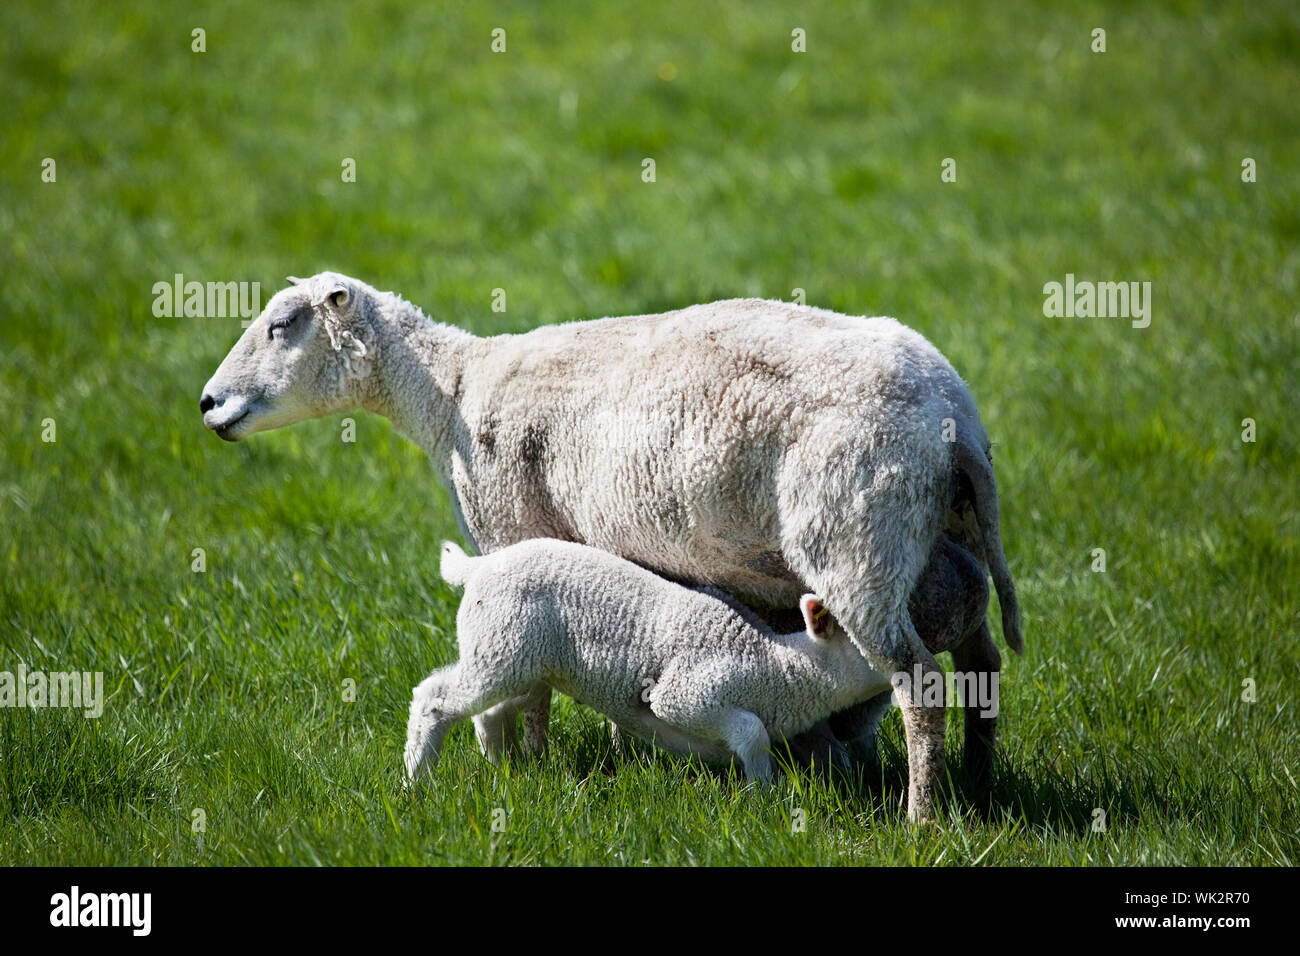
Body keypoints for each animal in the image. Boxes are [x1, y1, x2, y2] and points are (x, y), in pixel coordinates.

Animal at [404, 538, 894, 786]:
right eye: (867, 645)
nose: (910, 667)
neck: (775, 665)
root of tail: (476, 568)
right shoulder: (686, 694)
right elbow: (751, 732)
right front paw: (763, 794)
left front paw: (765, 790)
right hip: (501, 643)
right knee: (434, 699)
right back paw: (416, 783)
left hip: (523, 659)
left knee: (490, 711)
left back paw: (501, 770)